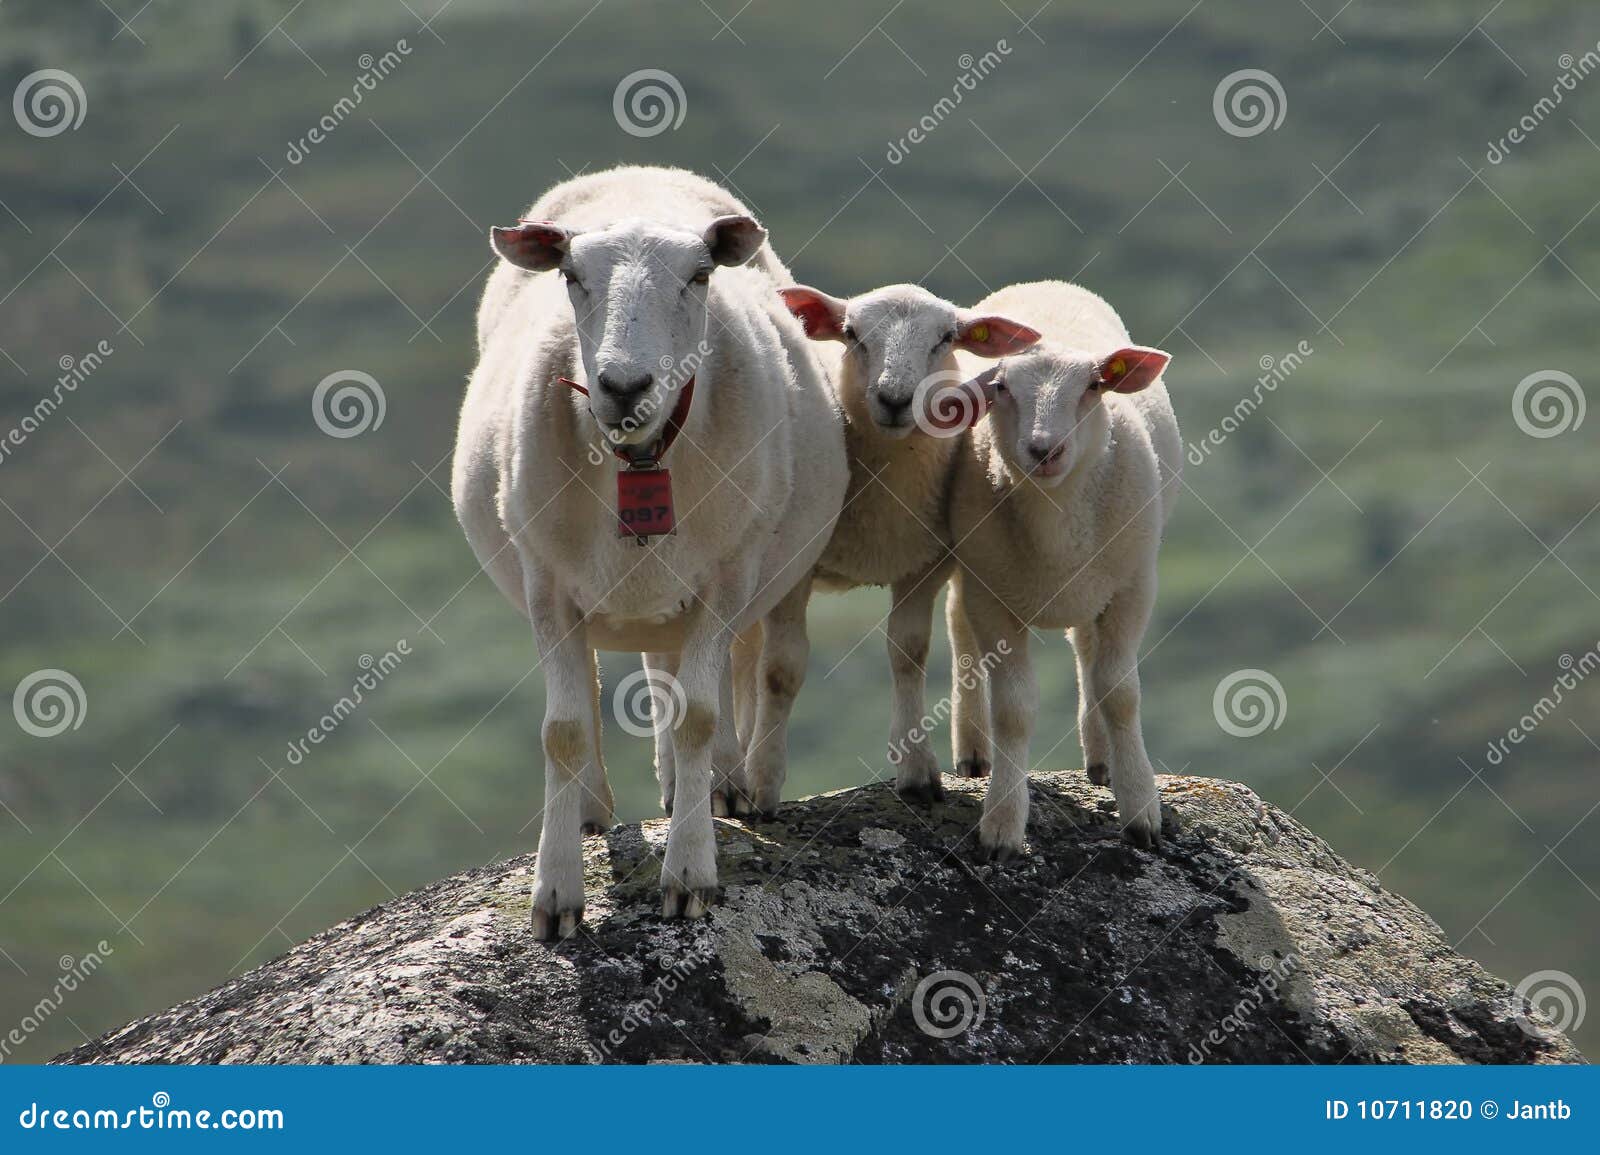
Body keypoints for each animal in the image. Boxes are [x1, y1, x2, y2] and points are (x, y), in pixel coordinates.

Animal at [452, 166, 847, 937]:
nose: (622, 386)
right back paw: (593, 807)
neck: (640, 456)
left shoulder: (728, 576)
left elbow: (697, 715)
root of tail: (633, 172)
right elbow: (563, 730)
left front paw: (691, 873)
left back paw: (721, 784)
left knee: (707, 676)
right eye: (571, 275)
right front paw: (555, 893)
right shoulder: (546, 582)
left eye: (699, 275)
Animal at [776, 284, 1039, 800]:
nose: (895, 399)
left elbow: (909, 651)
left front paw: (917, 768)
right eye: (852, 333)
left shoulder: (925, 562)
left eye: (946, 338)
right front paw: (758, 786)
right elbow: (784, 666)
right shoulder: (797, 568)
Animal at [943, 280, 1180, 857]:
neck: (1055, 525)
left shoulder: (1133, 586)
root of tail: (1043, 282)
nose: (1044, 450)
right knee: (959, 629)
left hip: (1099, 581)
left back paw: (1101, 760)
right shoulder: (991, 595)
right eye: (1000, 387)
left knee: (1089, 655)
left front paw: (1140, 808)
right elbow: (1014, 709)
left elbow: (1120, 693)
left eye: (1095, 384)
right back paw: (972, 750)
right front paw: (1003, 823)